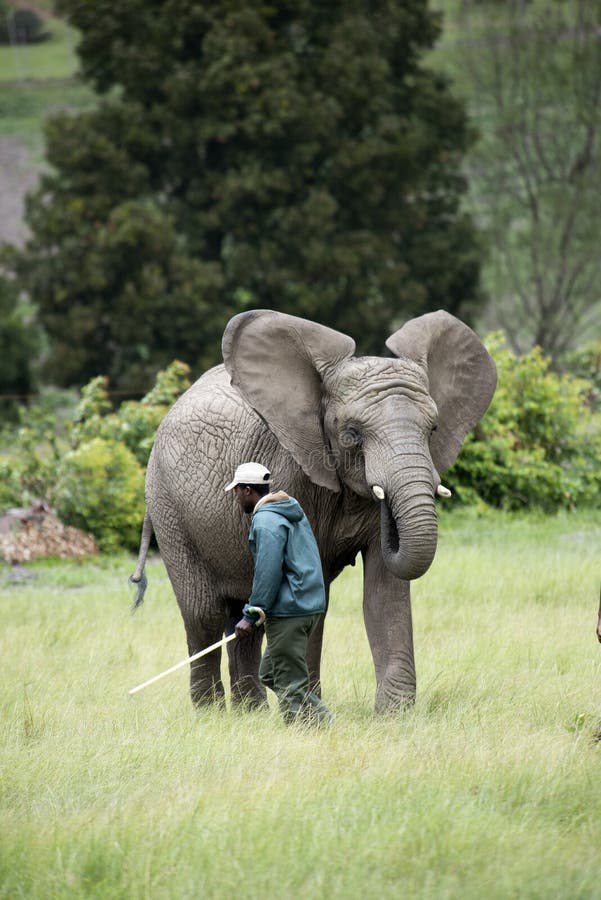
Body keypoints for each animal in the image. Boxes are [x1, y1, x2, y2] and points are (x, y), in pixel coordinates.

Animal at [131, 309, 497, 712]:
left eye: (432, 430)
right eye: (352, 434)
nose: (388, 508)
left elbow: (384, 593)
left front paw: (394, 715)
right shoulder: (291, 470)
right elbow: (309, 592)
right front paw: (308, 713)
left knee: (243, 614)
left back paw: (250, 714)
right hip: (168, 506)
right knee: (203, 613)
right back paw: (211, 713)